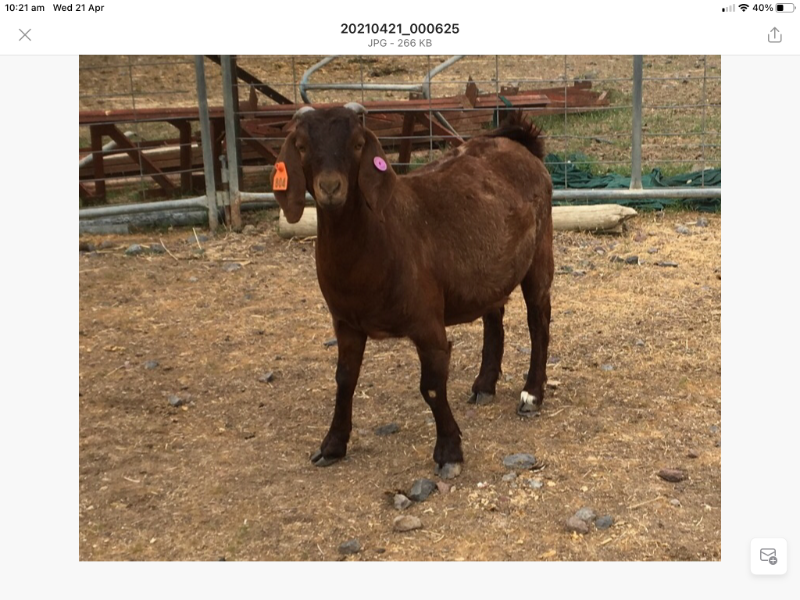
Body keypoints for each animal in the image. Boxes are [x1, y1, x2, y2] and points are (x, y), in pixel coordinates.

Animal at [273, 103, 553, 479]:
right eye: (302, 146)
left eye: (358, 144)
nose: (331, 187)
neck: (381, 235)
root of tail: (519, 143)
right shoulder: (345, 322)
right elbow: (345, 379)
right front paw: (332, 445)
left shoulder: (426, 320)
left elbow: (431, 386)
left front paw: (449, 452)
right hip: (490, 267)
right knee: (494, 314)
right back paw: (484, 385)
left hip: (540, 249)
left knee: (539, 321)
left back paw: (531, 395)